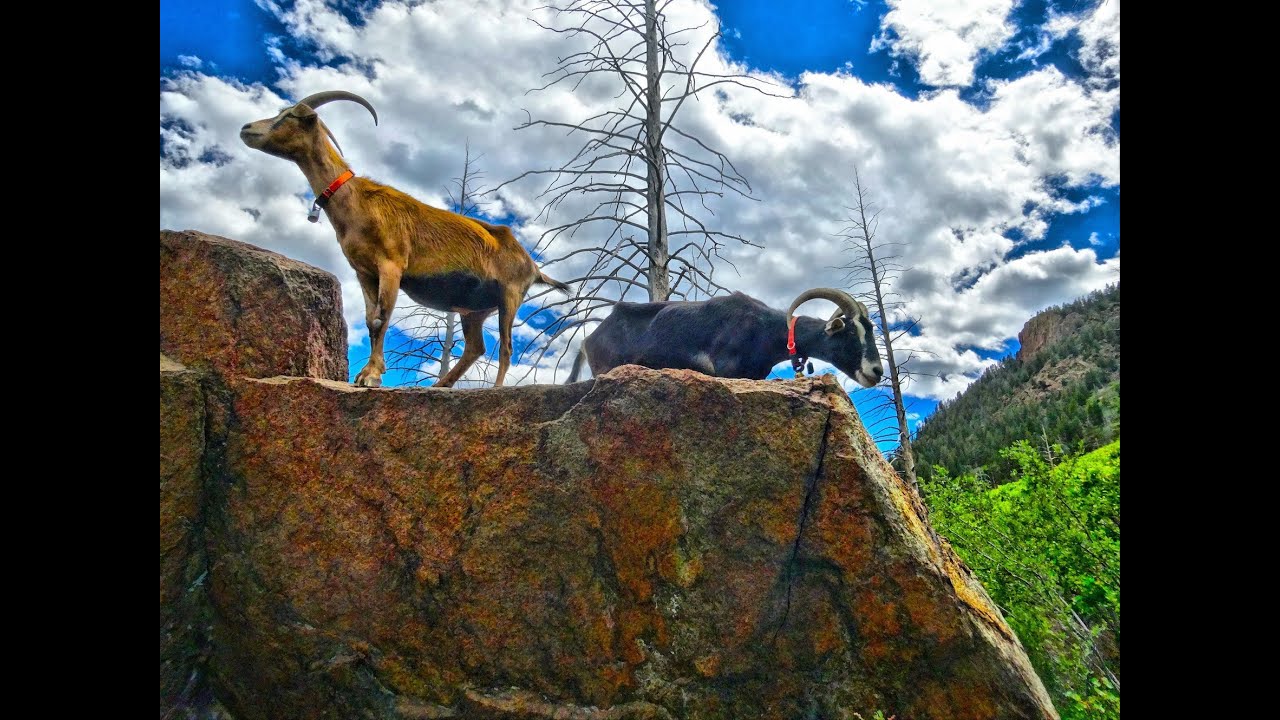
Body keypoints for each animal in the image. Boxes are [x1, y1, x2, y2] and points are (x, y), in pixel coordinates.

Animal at [240, 90, 570, 388]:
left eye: (290, 116)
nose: (246, 128)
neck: (356, 200)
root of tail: (533, 266)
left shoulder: (391, 265)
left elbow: (381, 318)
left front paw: (371, 376)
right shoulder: (364, 272)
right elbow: (371, 319)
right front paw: (369, 373)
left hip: (509, 296)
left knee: (506, 347)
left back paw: (495, 388)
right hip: (475, 310)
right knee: (477, 346)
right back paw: (441, 385)